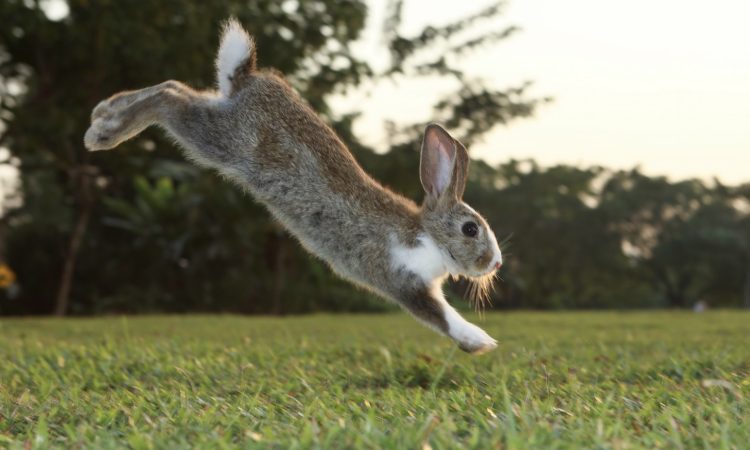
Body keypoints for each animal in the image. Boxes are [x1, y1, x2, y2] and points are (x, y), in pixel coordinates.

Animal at [84, 19, 503, 354]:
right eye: (471, 229)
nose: (496, 263)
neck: (427, 234)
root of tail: (249, 78)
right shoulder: (403, 281)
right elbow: (441, 316)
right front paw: (481, 342)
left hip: (217, 117)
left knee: (176, 87)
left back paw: (104, 111)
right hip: (220, 139)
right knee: (169, 98)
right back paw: (102, 133)